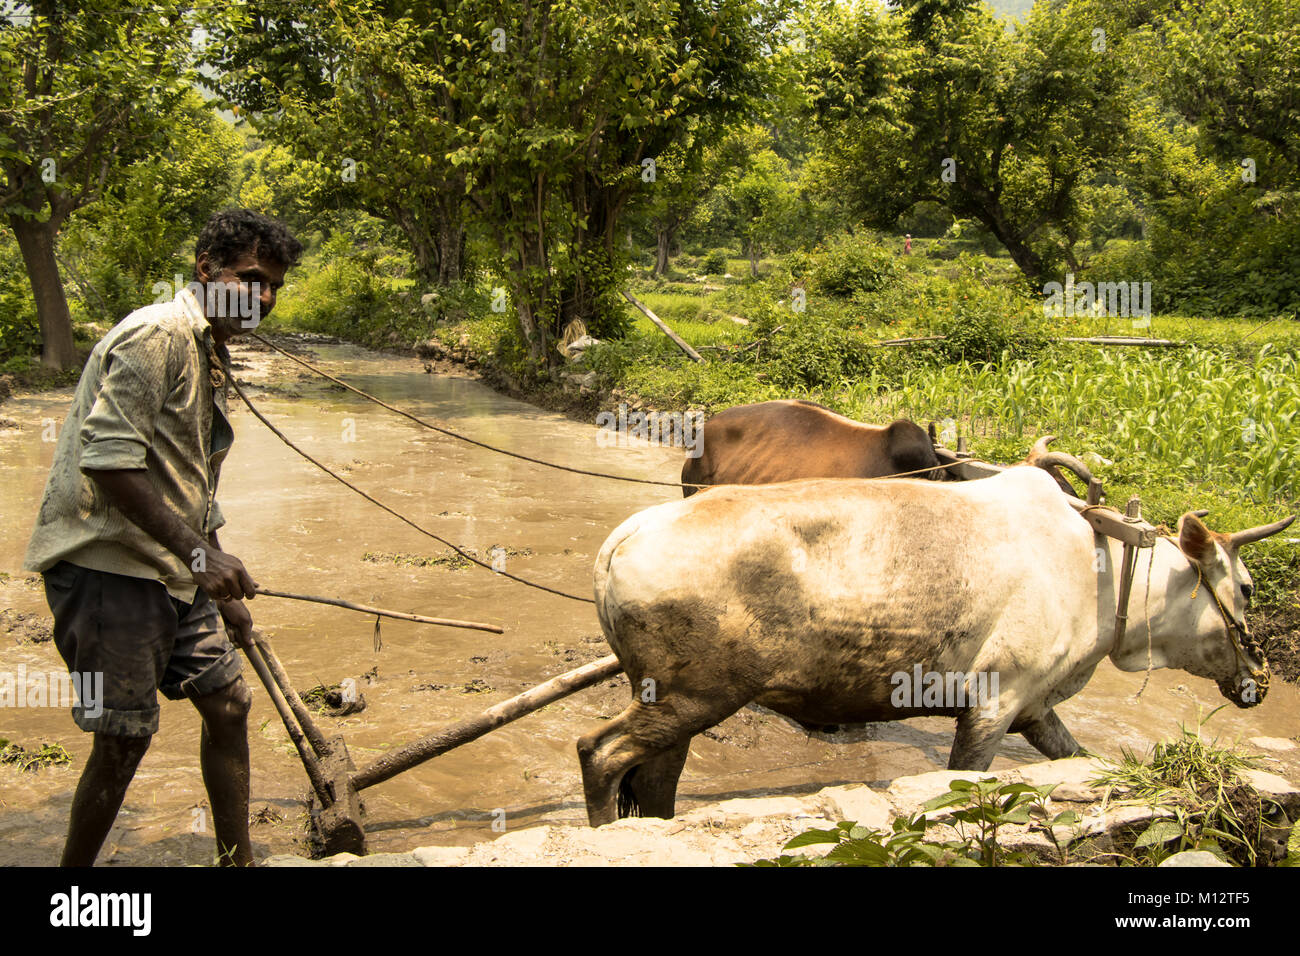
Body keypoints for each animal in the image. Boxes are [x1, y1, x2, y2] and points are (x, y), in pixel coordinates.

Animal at [577, 467, 1292, 826]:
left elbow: (1080, 760)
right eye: (1248, 587)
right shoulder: (995, 702)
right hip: (696, 694)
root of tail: (620, 541)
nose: (1258, 676)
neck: (1109, 570)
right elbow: (965, 782)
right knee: (600, 753)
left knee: (655, 779)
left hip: (675, 701)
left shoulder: (1036, 708)